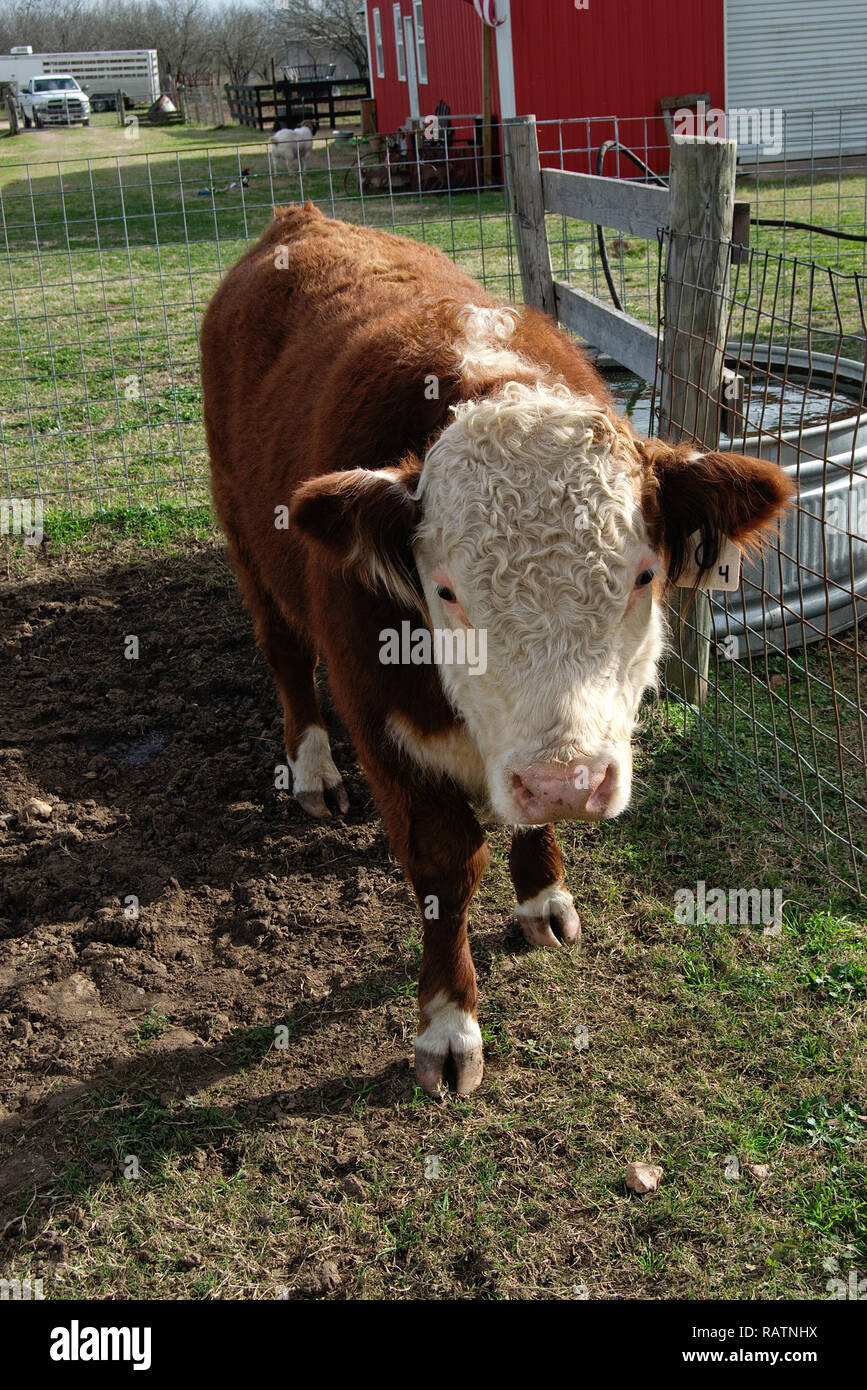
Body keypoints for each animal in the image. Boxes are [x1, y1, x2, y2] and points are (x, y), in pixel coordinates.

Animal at [201, 203, 793, 1098]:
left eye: (643, 574)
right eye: (445, 590)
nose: (567, 782)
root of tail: (298, 219)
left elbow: (522, 829)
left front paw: (541, 895)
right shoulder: (380, 721)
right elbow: (446, 868)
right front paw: (447, 1026)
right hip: (248, 546)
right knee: (285, 660)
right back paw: (310, 771)